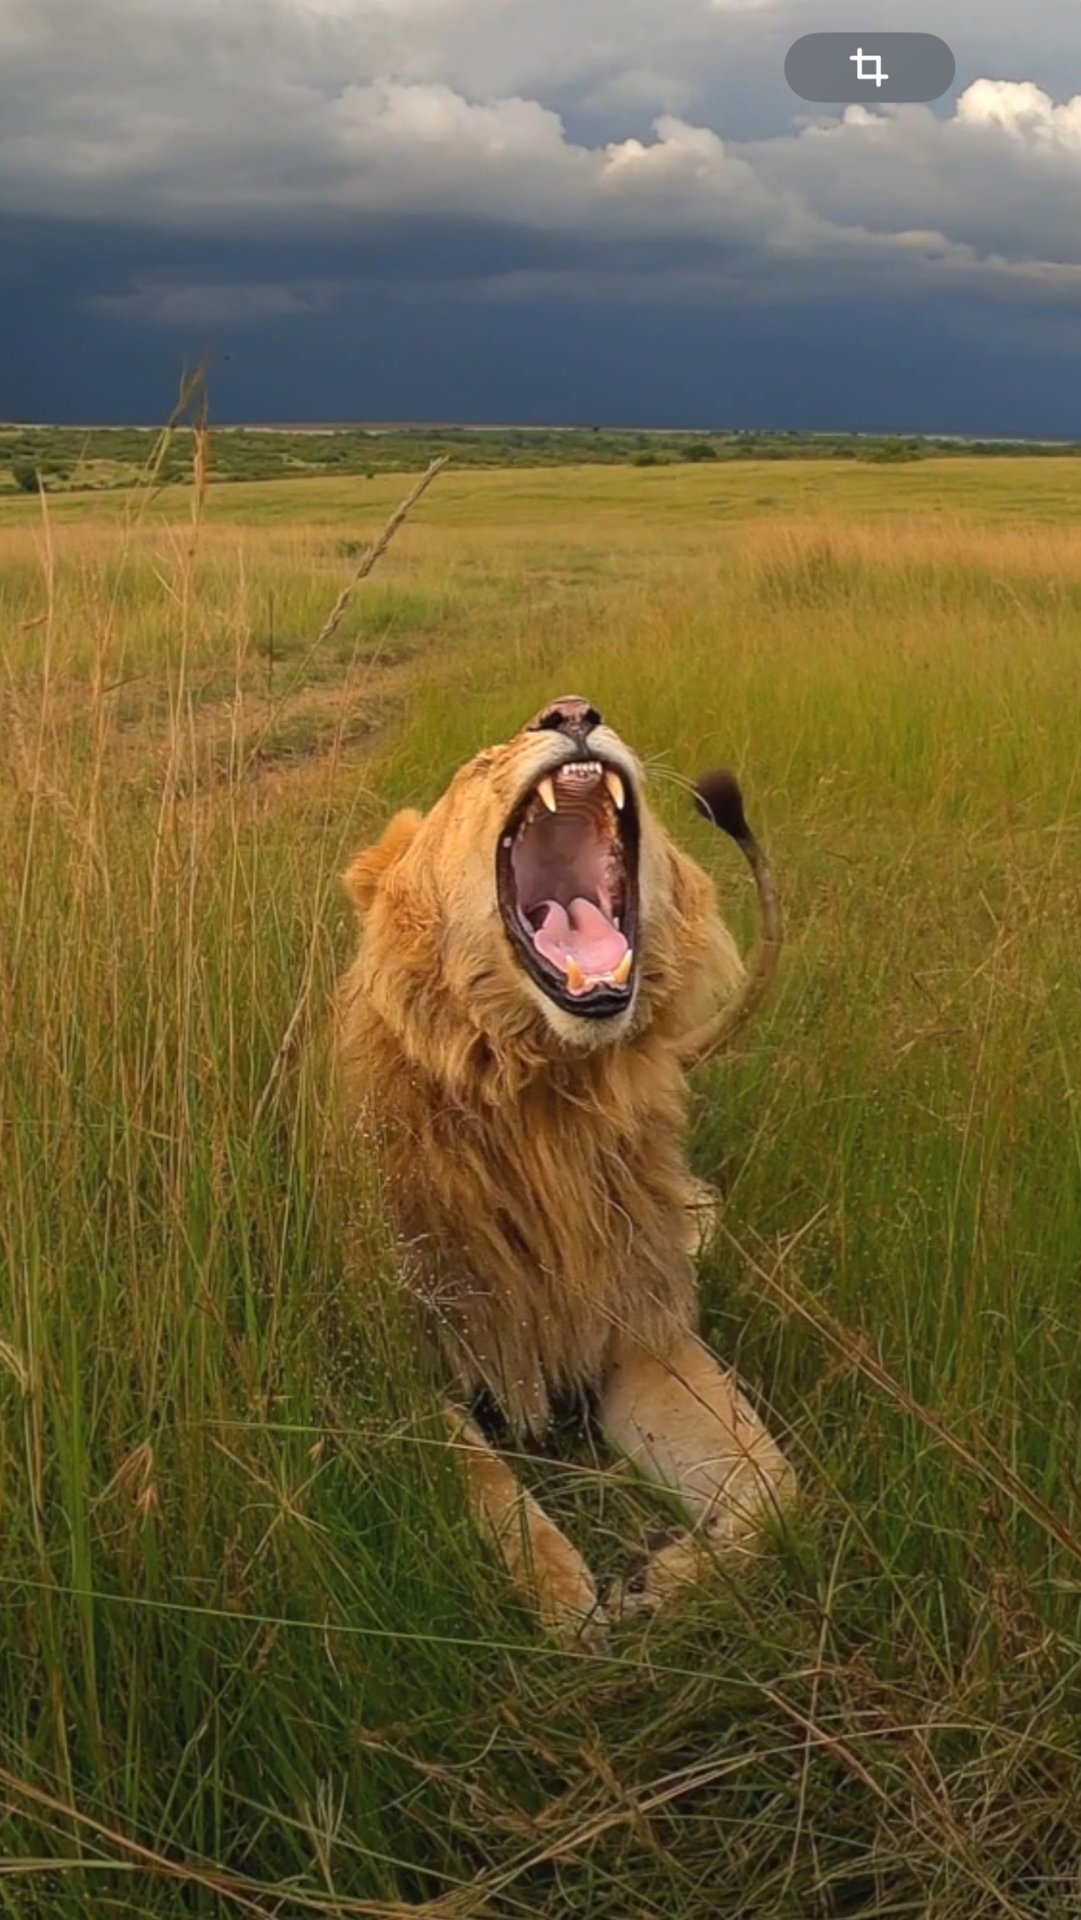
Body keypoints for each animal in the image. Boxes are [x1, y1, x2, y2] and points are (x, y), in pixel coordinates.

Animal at [336, 695, 795, 1644]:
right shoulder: (392, 1366)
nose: (573, 712)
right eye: (478, 766)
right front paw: (566, 1602)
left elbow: (777, 1488)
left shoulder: (640, 1330)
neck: (547, 1099)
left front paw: (666, 1584)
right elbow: (483, 1485)